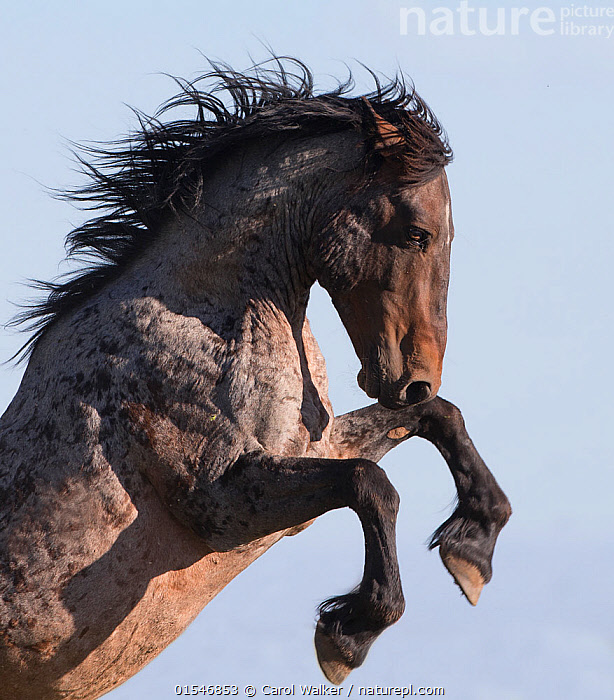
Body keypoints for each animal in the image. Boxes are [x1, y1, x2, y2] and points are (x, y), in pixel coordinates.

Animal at [0, 58, 511, 699]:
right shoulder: (219, 501)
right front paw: (350, 633)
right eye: (418, 232)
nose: (417, 377)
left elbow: (436, 419)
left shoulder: (312, 448)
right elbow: (371, 483)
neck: (208, 322)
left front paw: (473, 548)